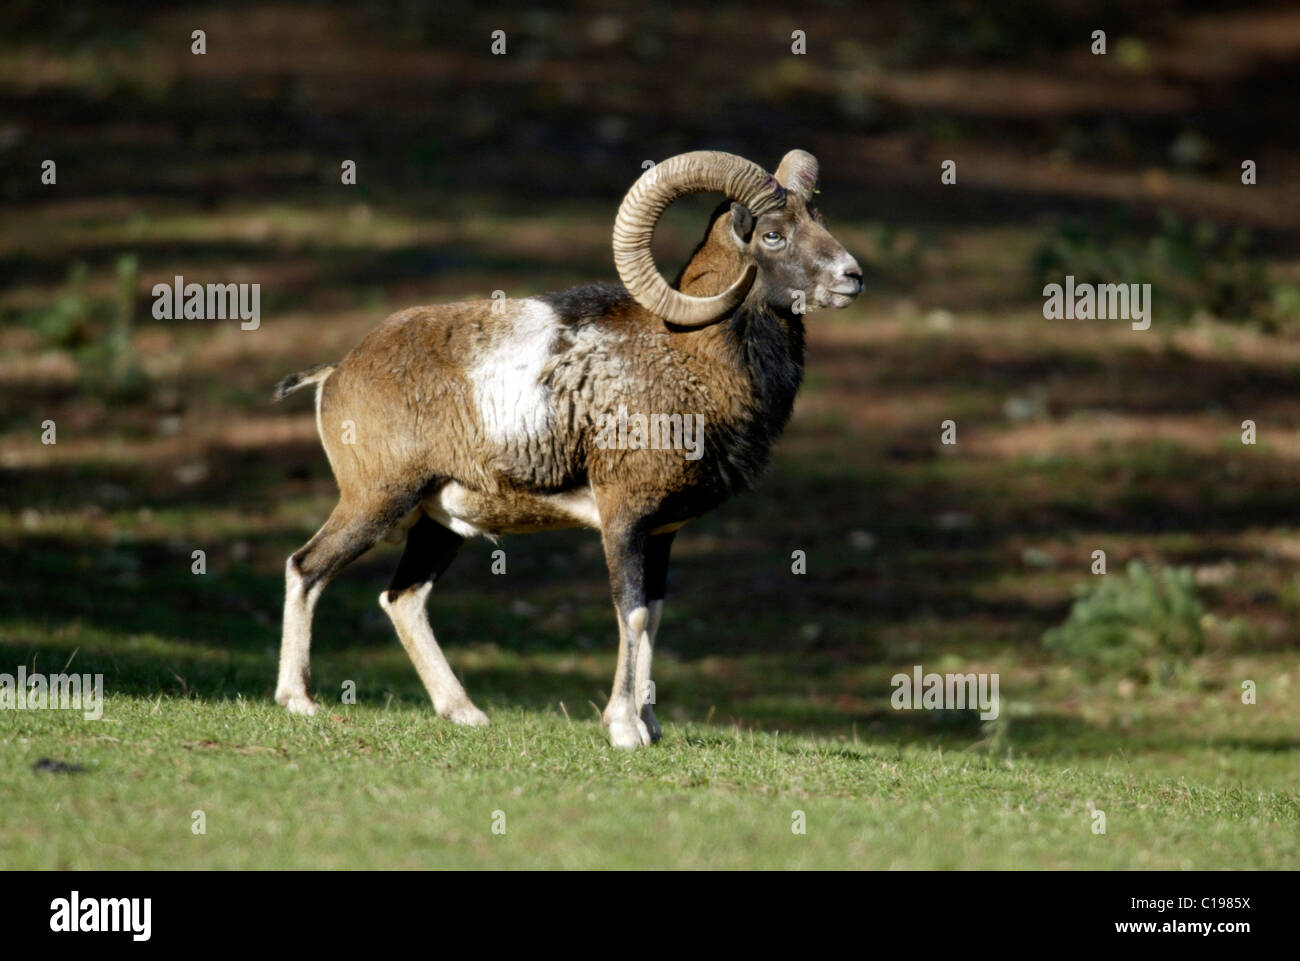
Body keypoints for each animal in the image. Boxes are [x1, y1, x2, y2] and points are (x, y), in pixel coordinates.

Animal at [272, 149, 862, 748]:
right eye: (773, 234)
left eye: (818, 220)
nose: (852, 276)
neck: (688, 357)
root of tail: (336, 373)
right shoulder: (624, 519)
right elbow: (632, 615)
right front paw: (624, 730)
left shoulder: (662, 533)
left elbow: (654, 616)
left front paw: (650, 726)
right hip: (376, 501)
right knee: (306, 568)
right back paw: (299, 701)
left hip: (438, 526)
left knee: (403, 599)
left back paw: (465, 713)